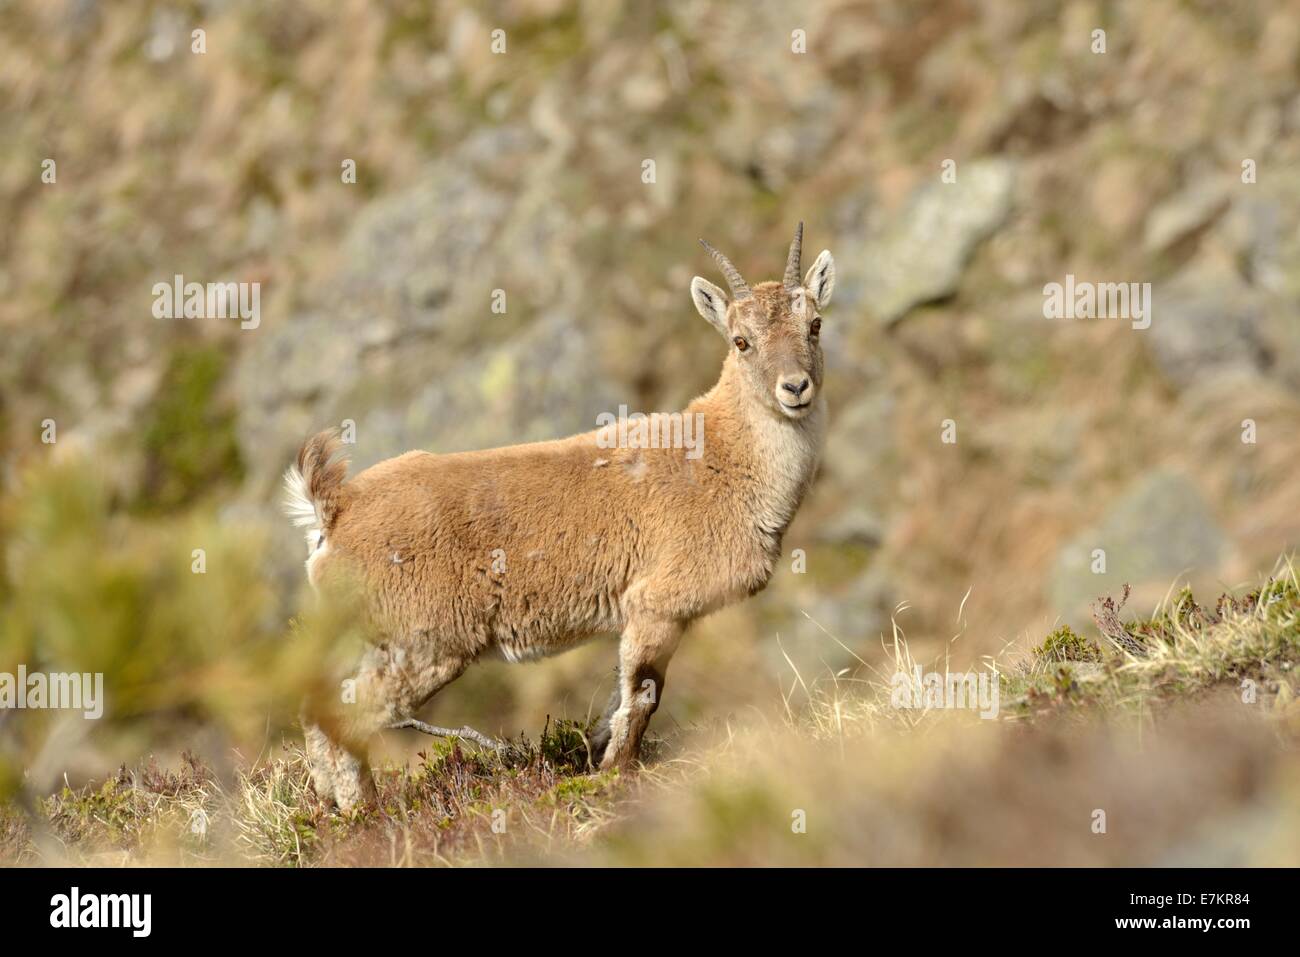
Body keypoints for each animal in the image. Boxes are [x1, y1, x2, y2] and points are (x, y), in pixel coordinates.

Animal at [285, 224, 835, 809]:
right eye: (740, 341)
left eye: (815, 324)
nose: (794, 388)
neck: (724, 460)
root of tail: (334, 512)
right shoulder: (656, 606)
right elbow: (641, 698)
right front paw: (611, 777)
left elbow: (619, 703)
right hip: (426, 644)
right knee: (350, 715)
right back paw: (363, 811)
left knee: (318, 707)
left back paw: (333, 809)